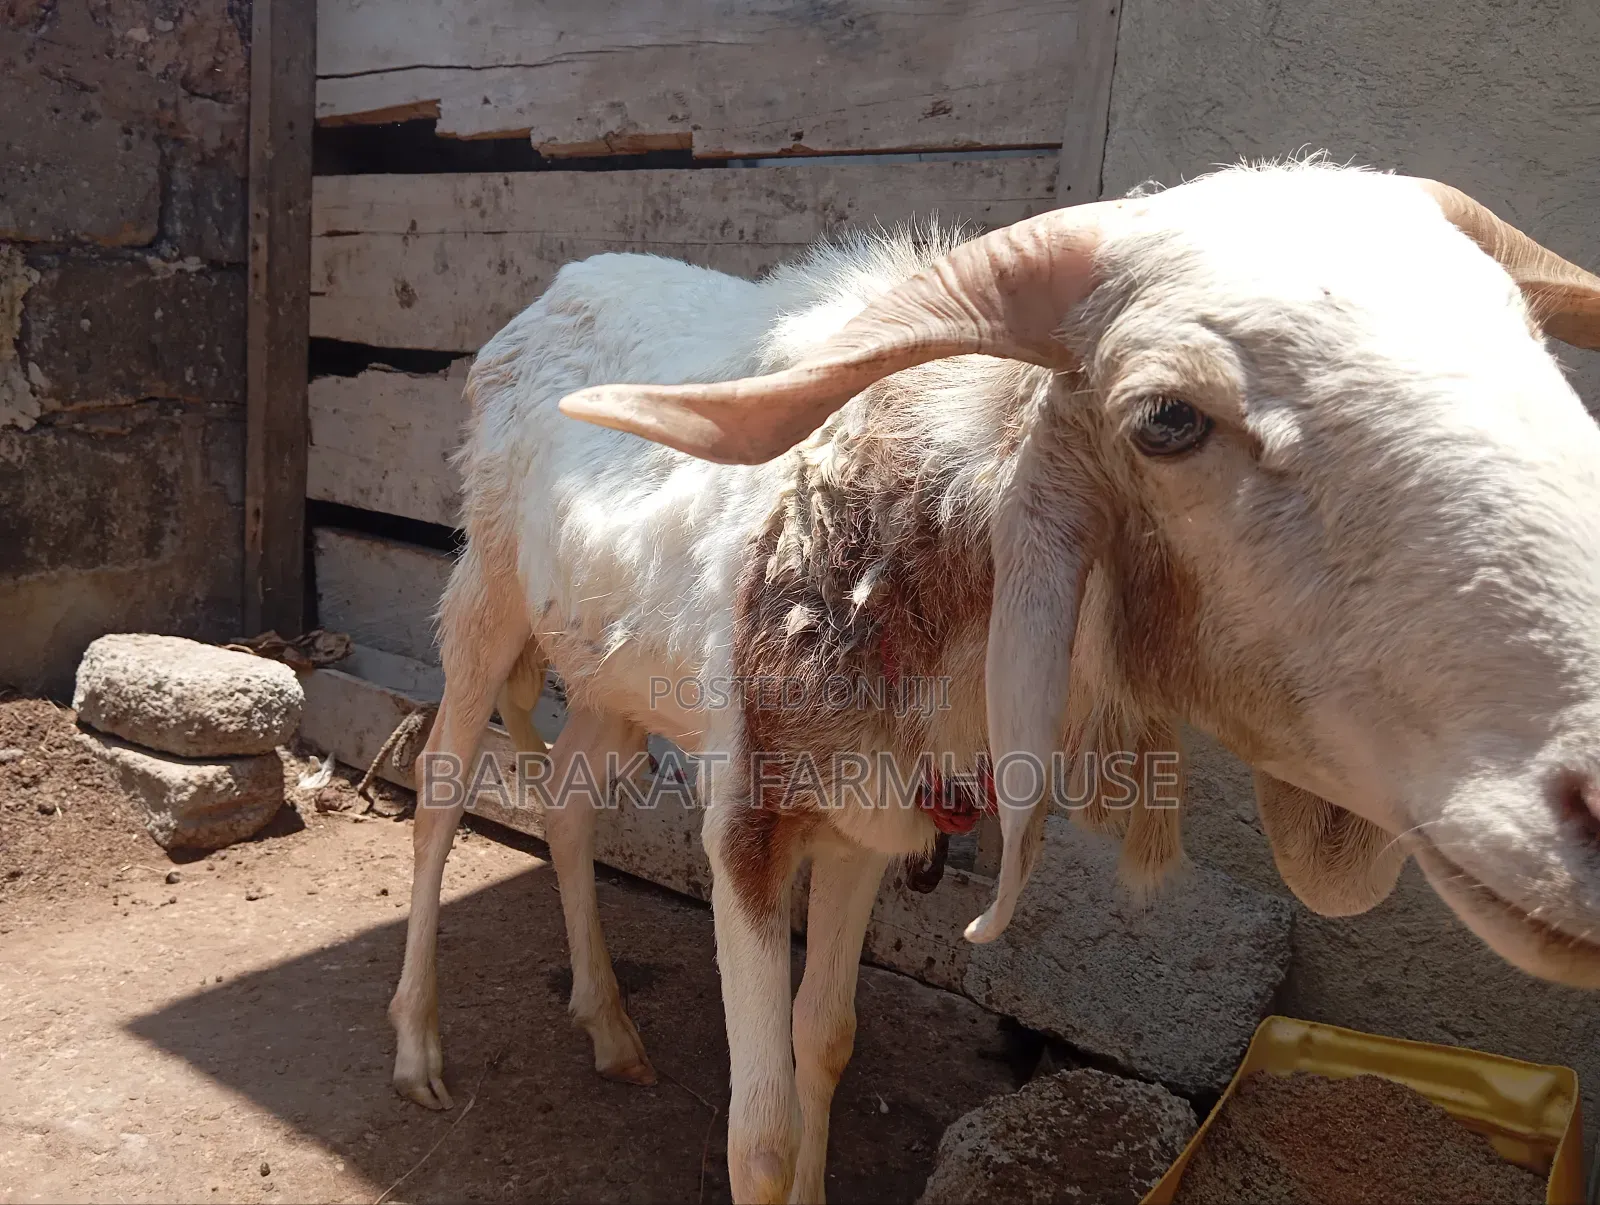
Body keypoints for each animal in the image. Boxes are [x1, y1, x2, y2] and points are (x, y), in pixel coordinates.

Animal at [391, 157, 1600, 1205]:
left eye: (1534, 347)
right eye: (1167, 417)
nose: (1587, 795)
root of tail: (561, 284)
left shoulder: (867, 821)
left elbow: (827, 1040)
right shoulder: (748, 819)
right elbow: (759, 1136)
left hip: (612, 670)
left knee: (567, 801)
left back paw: (608, 1026)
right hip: (485, 592)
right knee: (445, 787)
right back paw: (417, 1049)